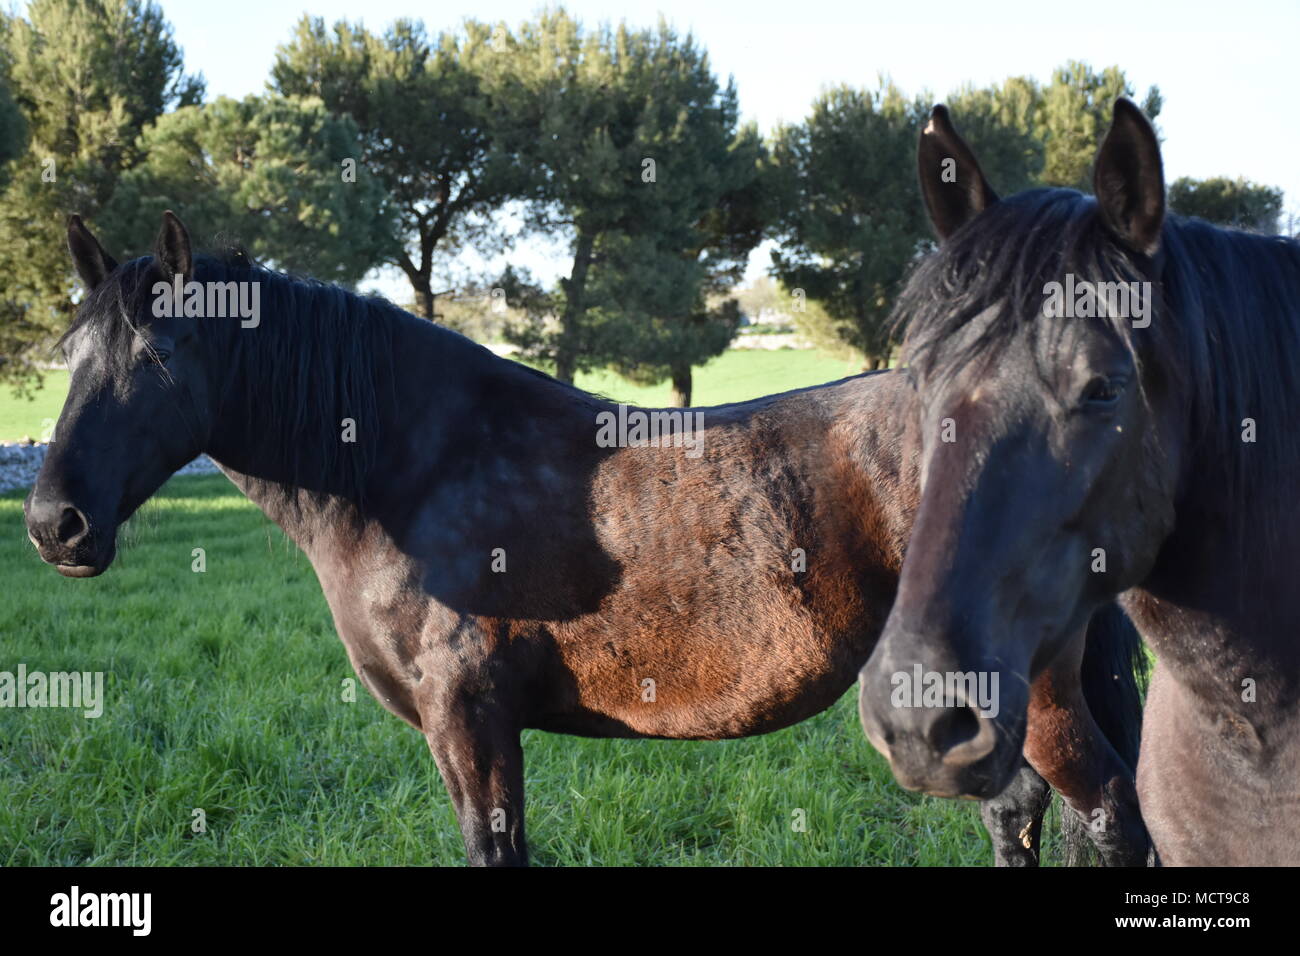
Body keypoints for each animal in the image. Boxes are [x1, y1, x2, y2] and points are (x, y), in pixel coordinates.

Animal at [24, 210, 1148, 866]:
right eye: (72, 353)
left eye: (160, 356)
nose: (54, 523)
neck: (409, 466)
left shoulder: (468, 715)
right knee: (1018, 813)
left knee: (1105, 817)